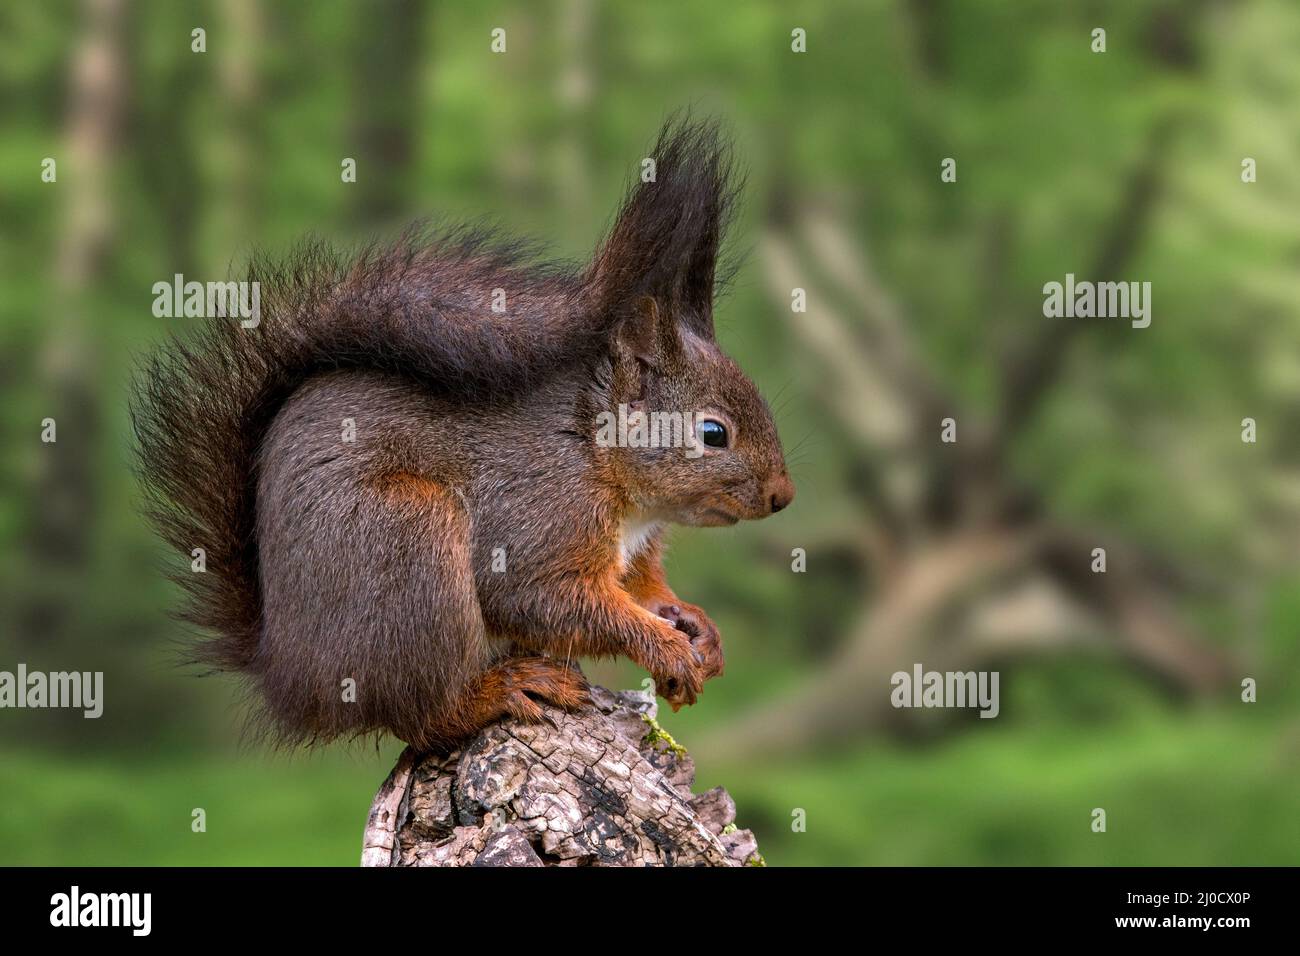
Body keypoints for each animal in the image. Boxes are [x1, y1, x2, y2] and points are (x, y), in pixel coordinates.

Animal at [132, 117, 794, 750]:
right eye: (713, 432)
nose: (782, 496)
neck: (595, 450)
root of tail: (287, 678)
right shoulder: (538, 511)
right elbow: (542, 598)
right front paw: (664, 648)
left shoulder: (631, 551)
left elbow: (640, 587)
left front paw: (695, 626)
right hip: (407, 543)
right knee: (423, 716)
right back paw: (500, 689)